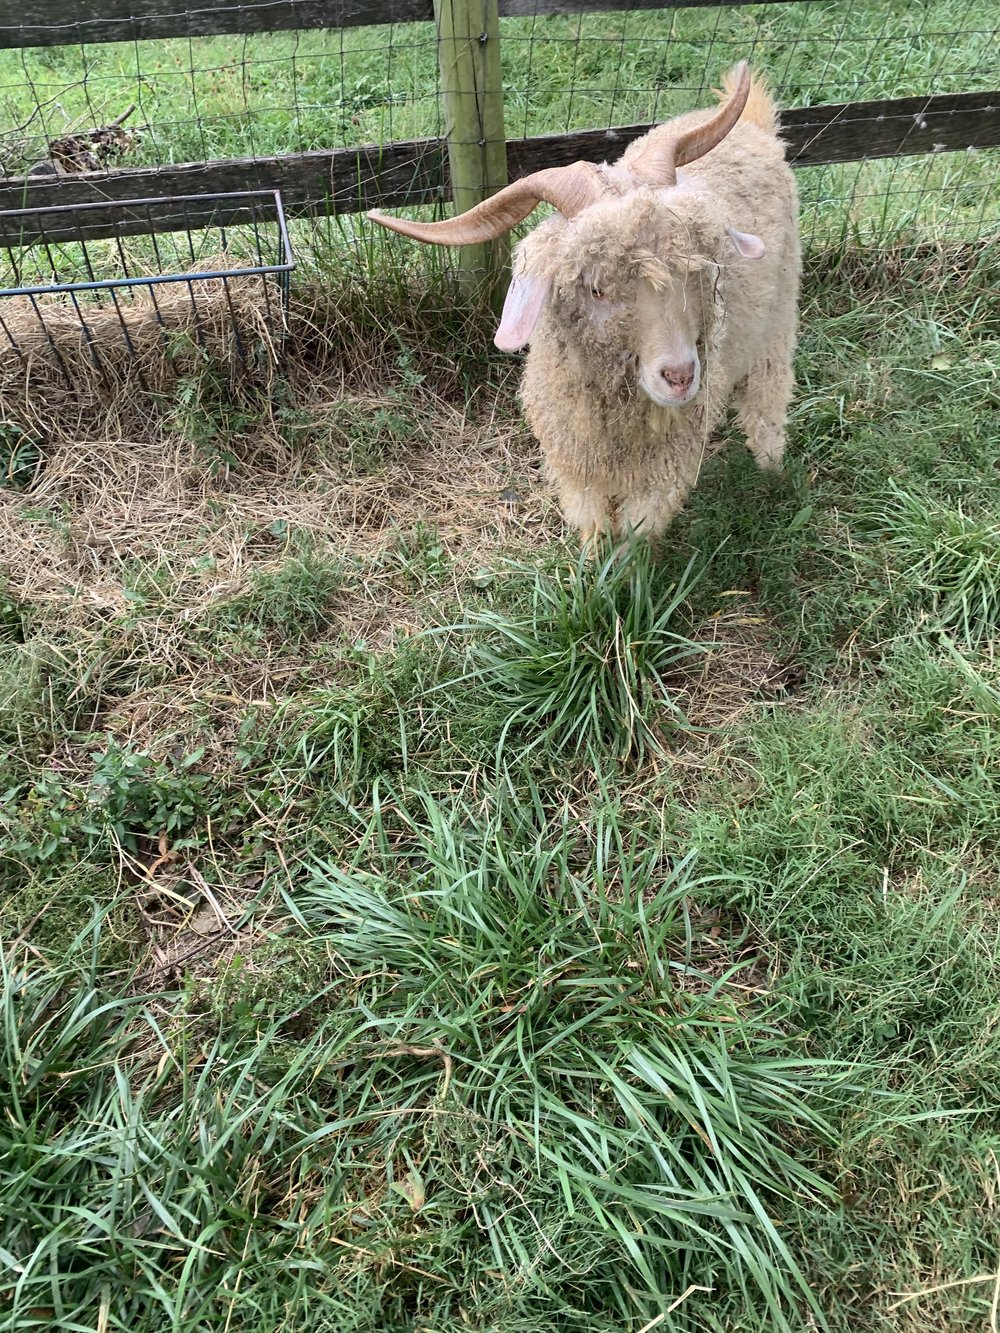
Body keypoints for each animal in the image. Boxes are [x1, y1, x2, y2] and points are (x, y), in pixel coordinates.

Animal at [369, 63, 800, 545]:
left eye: (697, 270)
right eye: (596, 288)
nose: (680, 376)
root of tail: (756, 126)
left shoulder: (662, 473)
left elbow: (633, 543)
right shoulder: (578, 466)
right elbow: (595, 533)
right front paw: (592, 564)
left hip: (780, 317)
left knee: (768, 399)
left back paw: (770, 472)